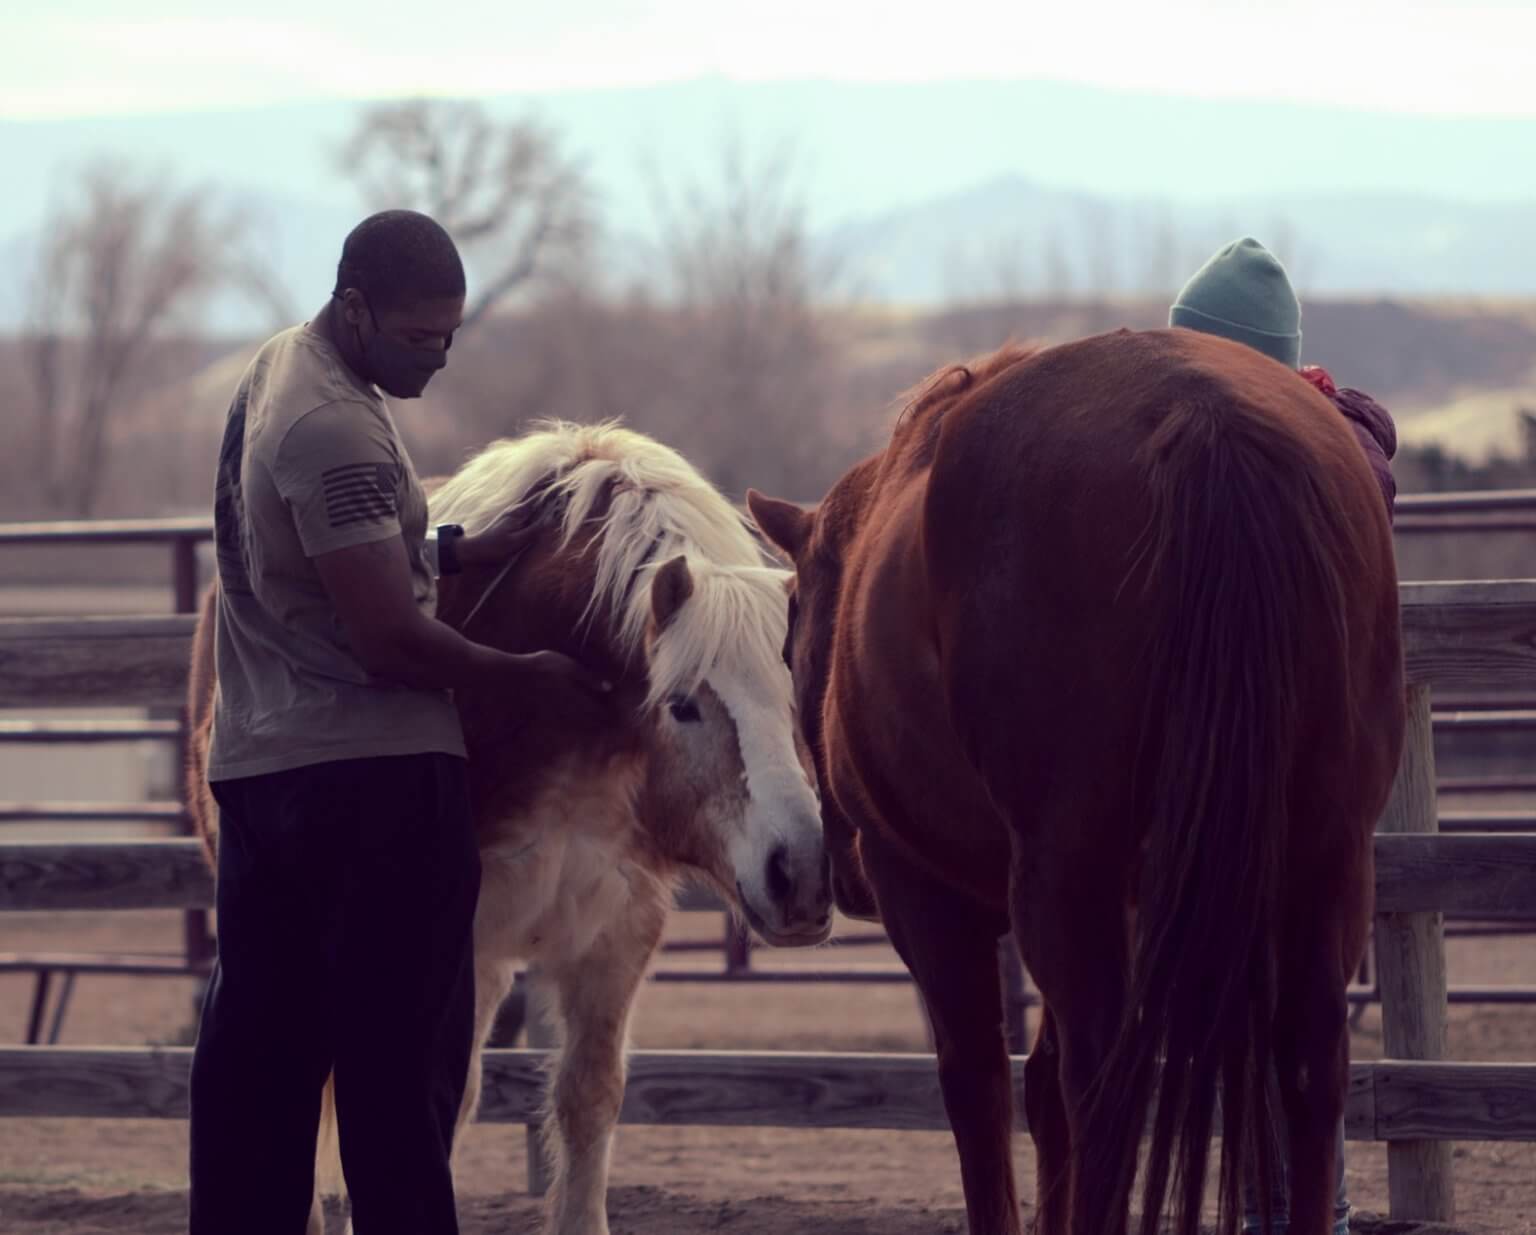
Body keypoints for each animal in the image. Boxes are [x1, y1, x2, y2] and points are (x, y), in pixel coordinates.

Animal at [187, 420, 833, 1235]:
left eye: (797, 697)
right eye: (683, 704)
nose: (801, 872)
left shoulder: (614, 940)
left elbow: (587, 1101)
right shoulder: (449, 949)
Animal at [747, 328, 1405, 1235]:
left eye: (787, 645)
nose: (835, 871)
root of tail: (1206, 425)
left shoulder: (927, 895)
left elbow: (980, 1086)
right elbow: (1039, 1091)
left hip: (1063, 880)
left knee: (1099, 1087)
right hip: (1322, 859)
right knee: (1306, 1069)